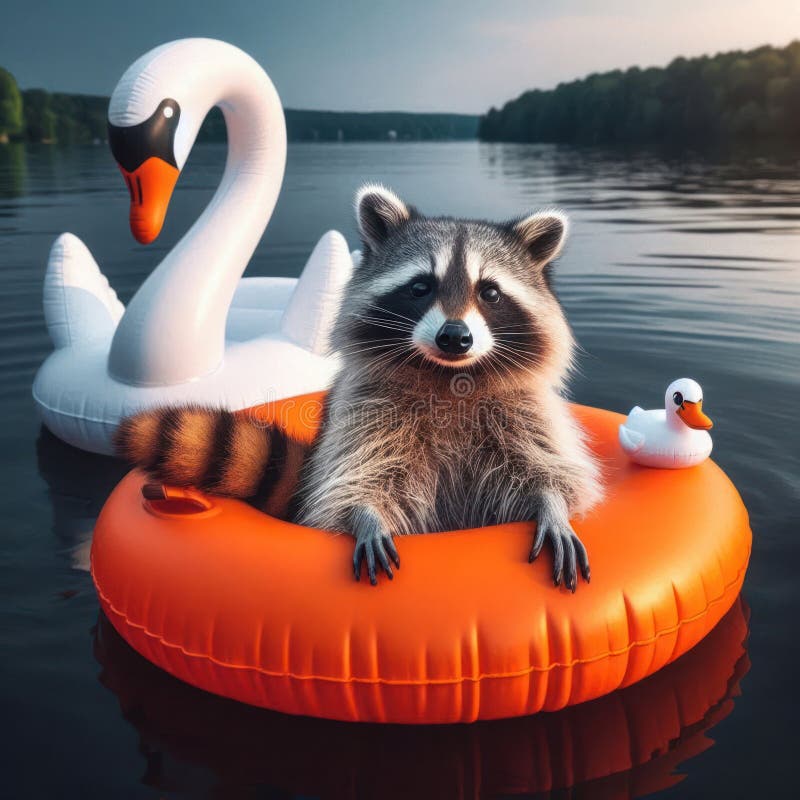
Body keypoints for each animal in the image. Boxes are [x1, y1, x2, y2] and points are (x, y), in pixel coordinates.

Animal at [116, 185, 602, 591]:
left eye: (490, 293)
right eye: (421, 287)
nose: (455, 337)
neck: (447, 375)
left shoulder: (525, 410)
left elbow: (546, 467)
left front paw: (552, 507)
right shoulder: (366, 410)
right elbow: (358, 475)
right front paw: (366, 514)